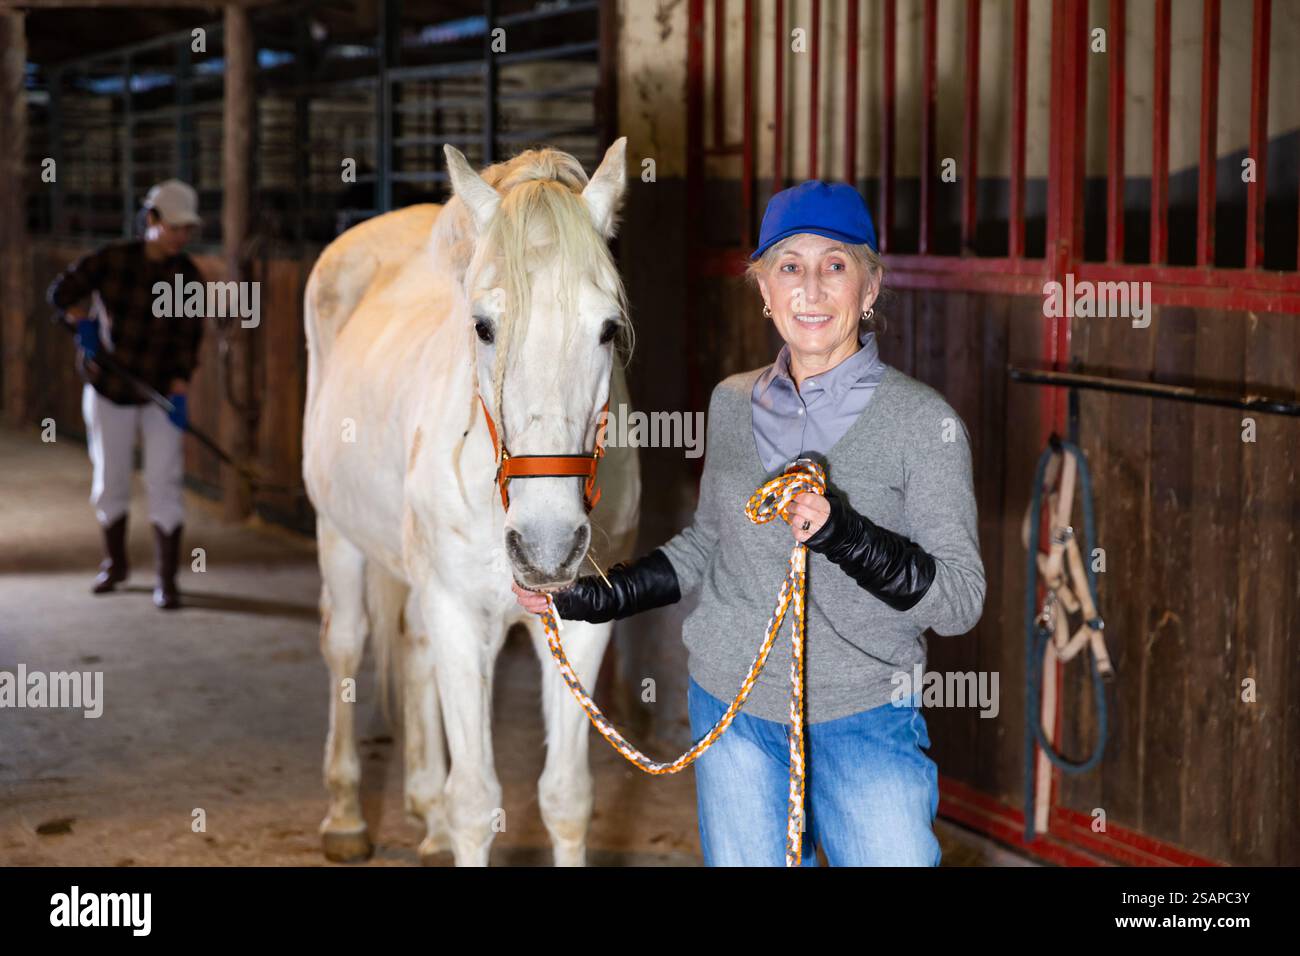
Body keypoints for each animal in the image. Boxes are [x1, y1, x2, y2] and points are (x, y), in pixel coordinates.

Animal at [301, 139, 641, 866]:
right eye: (482, 327)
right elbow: (477, 801)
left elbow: (566, 799)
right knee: (345, 645)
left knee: (413, 647)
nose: (546, 545)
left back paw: (423, 814)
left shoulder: (581, 627)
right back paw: (345, 815)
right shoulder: (460, 615)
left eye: (607, 329)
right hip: (337, 534)